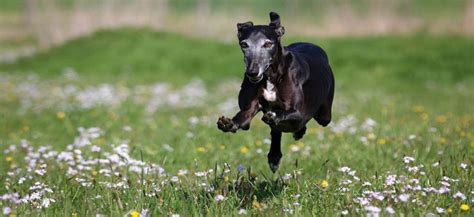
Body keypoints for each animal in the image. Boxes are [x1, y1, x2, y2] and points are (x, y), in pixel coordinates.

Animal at [218, 11, 334, 172]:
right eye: (244, 44)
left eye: (267, 44)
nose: (252, 73)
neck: (270, 76)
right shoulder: (249, 108)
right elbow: (243, 119)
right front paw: (228, 123)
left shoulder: (299, 113)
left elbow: (286, 114)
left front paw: (275, 115)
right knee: (276, 131)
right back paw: (274, 156)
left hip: (324, 115)